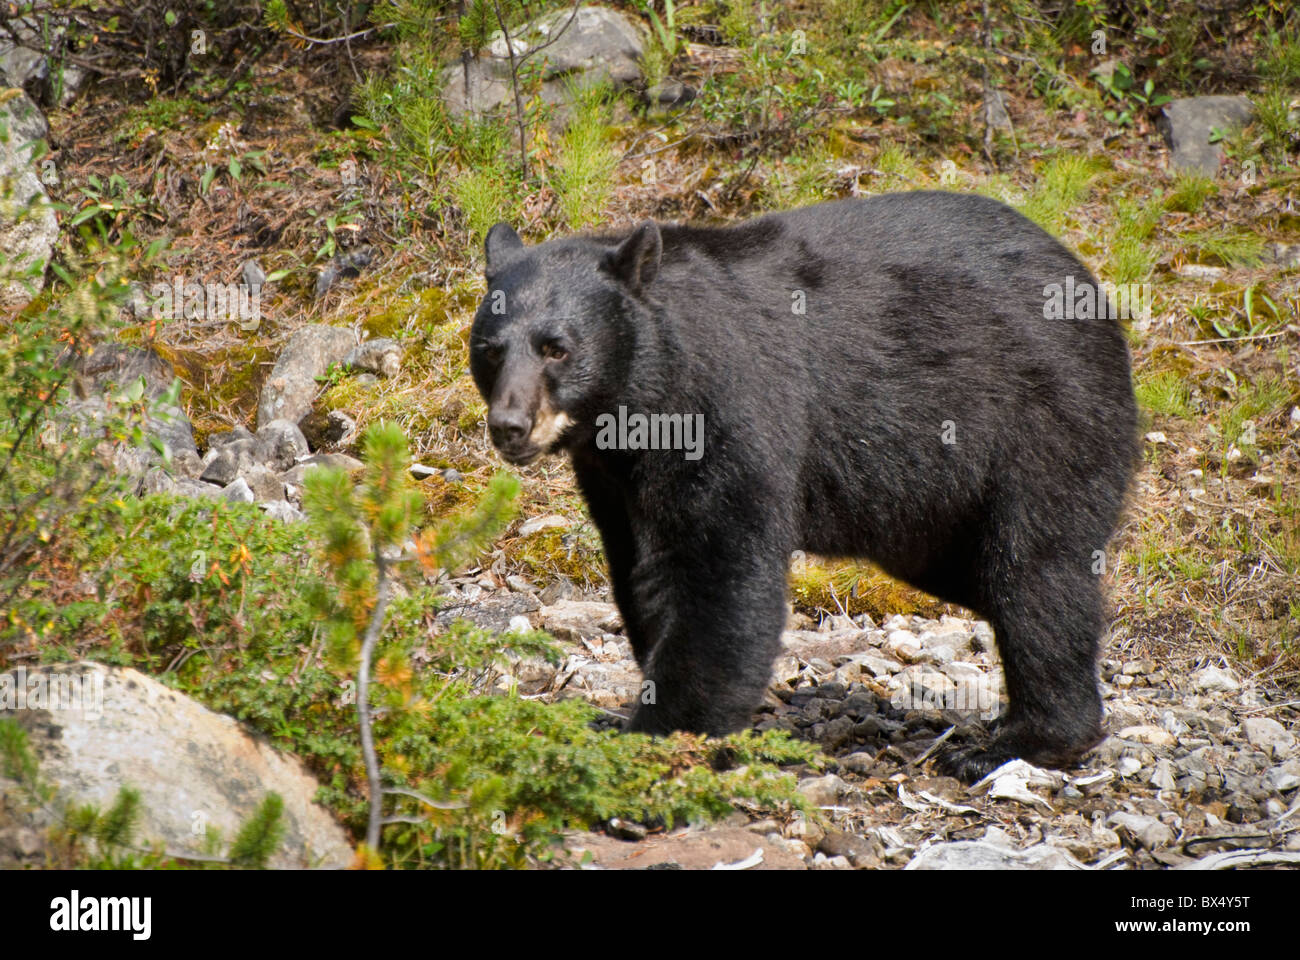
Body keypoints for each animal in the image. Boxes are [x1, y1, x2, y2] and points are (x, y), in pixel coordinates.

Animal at [469, 191, 1138, 783]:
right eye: (490, 350)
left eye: (556, 348)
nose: (509, 425)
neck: (644, 397)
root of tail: (1092, 291)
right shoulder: (614, 472)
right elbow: (644, 571)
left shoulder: (729, 403)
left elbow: (721, 571)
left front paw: (663, 742)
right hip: (937, 516)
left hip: (1044, 421)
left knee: (1036, 575)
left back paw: (1019, 742)